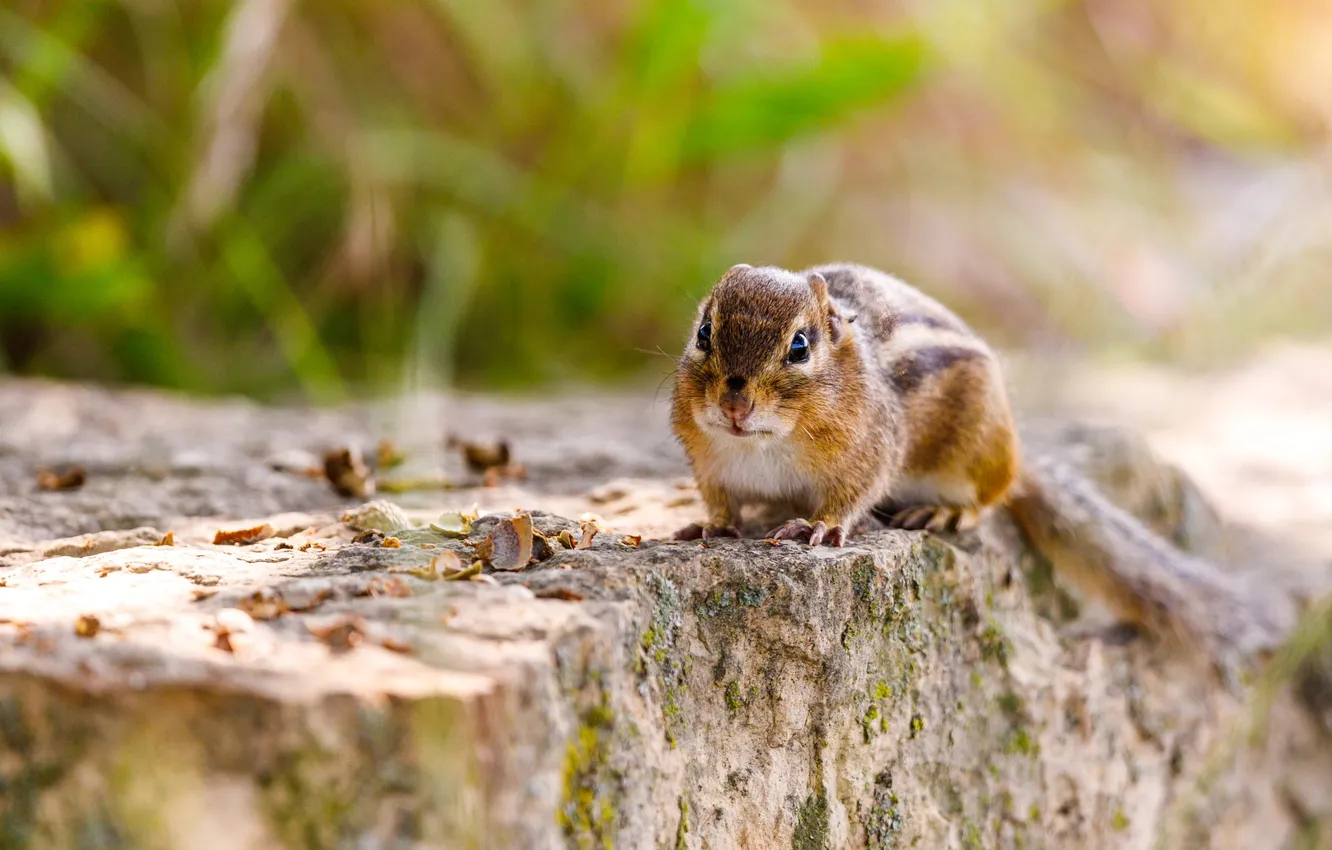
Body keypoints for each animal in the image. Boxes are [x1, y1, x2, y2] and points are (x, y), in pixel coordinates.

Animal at [670, 262, 1291, 658]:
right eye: (704, 331)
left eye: (799, 347)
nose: (734, 404)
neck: (762, 444)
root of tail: (1017, 460)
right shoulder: (710, 463)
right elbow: (719, 501)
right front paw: (712, 524)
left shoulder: (872, 451)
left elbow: (851, 497)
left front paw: (818, 526)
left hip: (974, 458)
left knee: (988, 501)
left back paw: (944, 513)